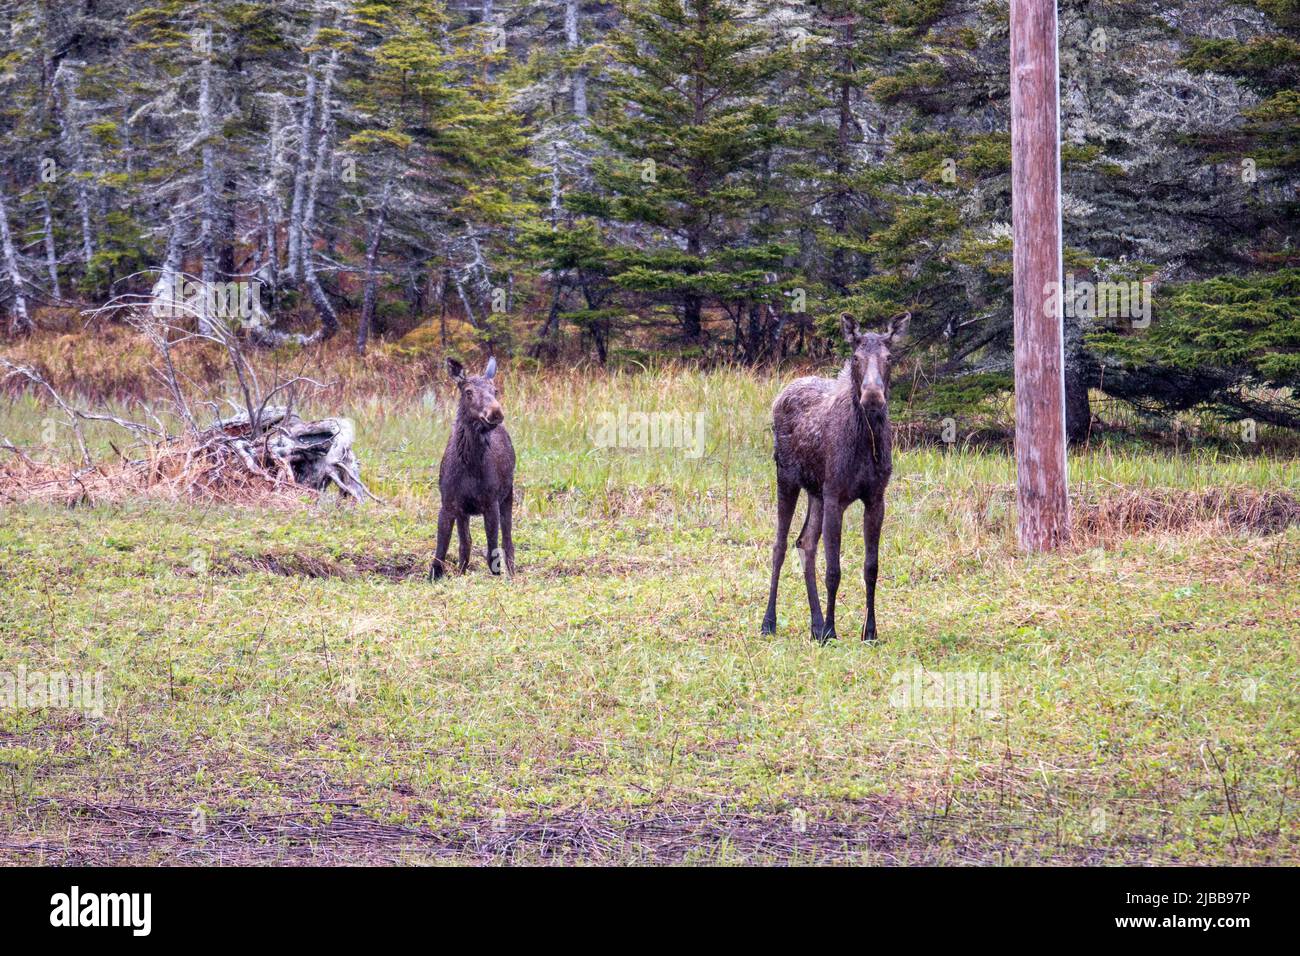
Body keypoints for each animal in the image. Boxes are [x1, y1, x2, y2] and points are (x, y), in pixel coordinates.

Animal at [428, 356, 516, 581]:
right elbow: (441, 552)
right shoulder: (448, 503)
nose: (496, 412)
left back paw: (513, 574)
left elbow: (492, 552)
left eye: (495, 390)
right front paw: (436, 577)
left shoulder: (491, 502)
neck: (470, 466)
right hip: (464, 512)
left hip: (508, 494)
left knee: (508, 542)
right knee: (465, 544)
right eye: (468, 392)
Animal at [760, 312, 909, 643]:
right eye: (855, 357)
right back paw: (770, 622)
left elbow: (871, 567)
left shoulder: (875, 498)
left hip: (815, 491)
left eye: (889, 357)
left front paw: (869, 630)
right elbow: (834, 571)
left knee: (804, 543)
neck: (866, 441)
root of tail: (781, 393)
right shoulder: (835, 497)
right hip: (787, 478)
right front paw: (832, 627)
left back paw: (815, 625)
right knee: (779, 545)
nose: (872, 395)